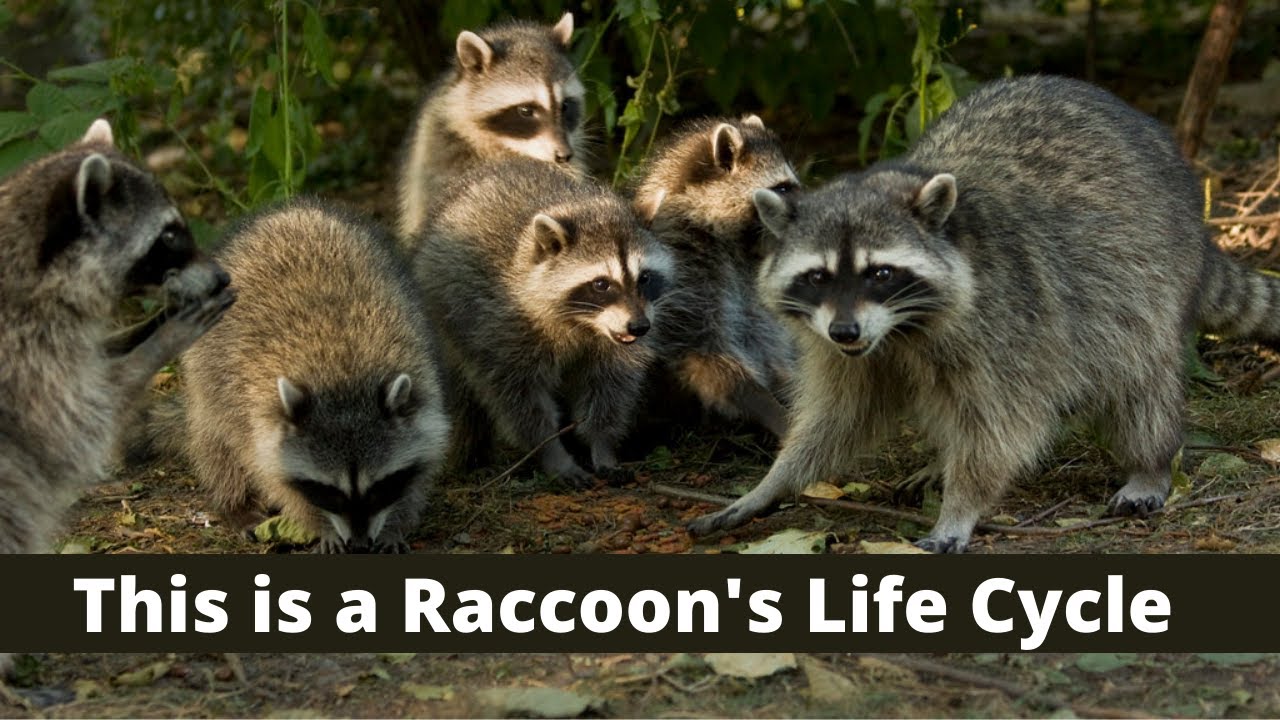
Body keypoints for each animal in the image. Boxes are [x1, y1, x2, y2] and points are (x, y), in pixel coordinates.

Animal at [179, 200, 450, 553]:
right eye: (330, 493)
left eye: (379, 488)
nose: (359, 544)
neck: (346, 377)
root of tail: (290, 211)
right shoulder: (259, 415)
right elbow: (270, 473)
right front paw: (318, 524)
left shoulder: (425, 383)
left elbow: (423, 463)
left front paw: (397, 522)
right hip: (209, 366)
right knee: (214, 439)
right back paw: (234, 501)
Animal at [413, 157, 673, 484]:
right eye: (601, 284)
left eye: (645, 278)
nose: (639, 327)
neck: (585, 324)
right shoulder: (502, 326)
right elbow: (521, 399)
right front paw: (553, 453)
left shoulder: (620, 343)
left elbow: (609, 387)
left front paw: (601, 444)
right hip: (445, 316)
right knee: (462, 395)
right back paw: (469, 453)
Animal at [632, 115, 799, 438]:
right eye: (782, 188)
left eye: (792, 185)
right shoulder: (686, 280)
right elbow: (710, 359)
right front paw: (776, 413)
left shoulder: (752, 288)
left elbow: (766, 345)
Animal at [688, 75, 1280, 553]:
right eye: (817, 277)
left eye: (881, 273)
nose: (845, 331)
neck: (899, 330)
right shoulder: (840, 346)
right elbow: (837, 417)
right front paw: (774, 481)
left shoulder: (1008, 316)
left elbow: (1004, 426)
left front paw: (962, 503)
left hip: (1147, 274)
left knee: (1138, 377)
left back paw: (1151, 463)